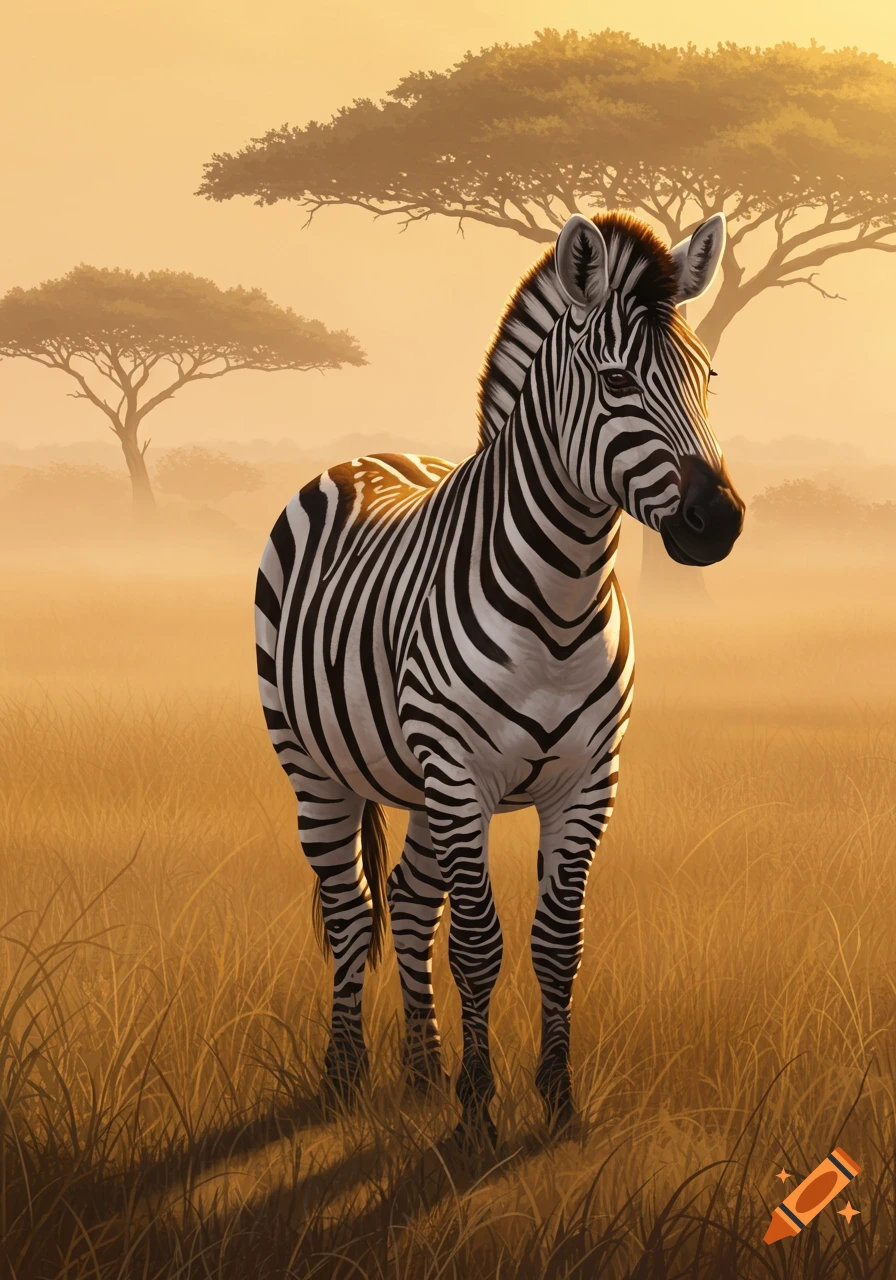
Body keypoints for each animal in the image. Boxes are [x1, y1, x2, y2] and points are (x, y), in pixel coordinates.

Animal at [255, 210, 744, 1142]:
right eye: (617, 382)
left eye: (708, 379)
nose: (719, 522)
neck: (560, 602)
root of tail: (369, 457)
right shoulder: (461, 775)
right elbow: (479, 944)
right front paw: (479, 1108)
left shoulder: (588, 784)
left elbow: (559, 943)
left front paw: (555, 1100)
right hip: (317, 768)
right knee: (351, 911)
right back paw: (346, 1075)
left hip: (413, 782)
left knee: (409, 901)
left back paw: (420, 1069)